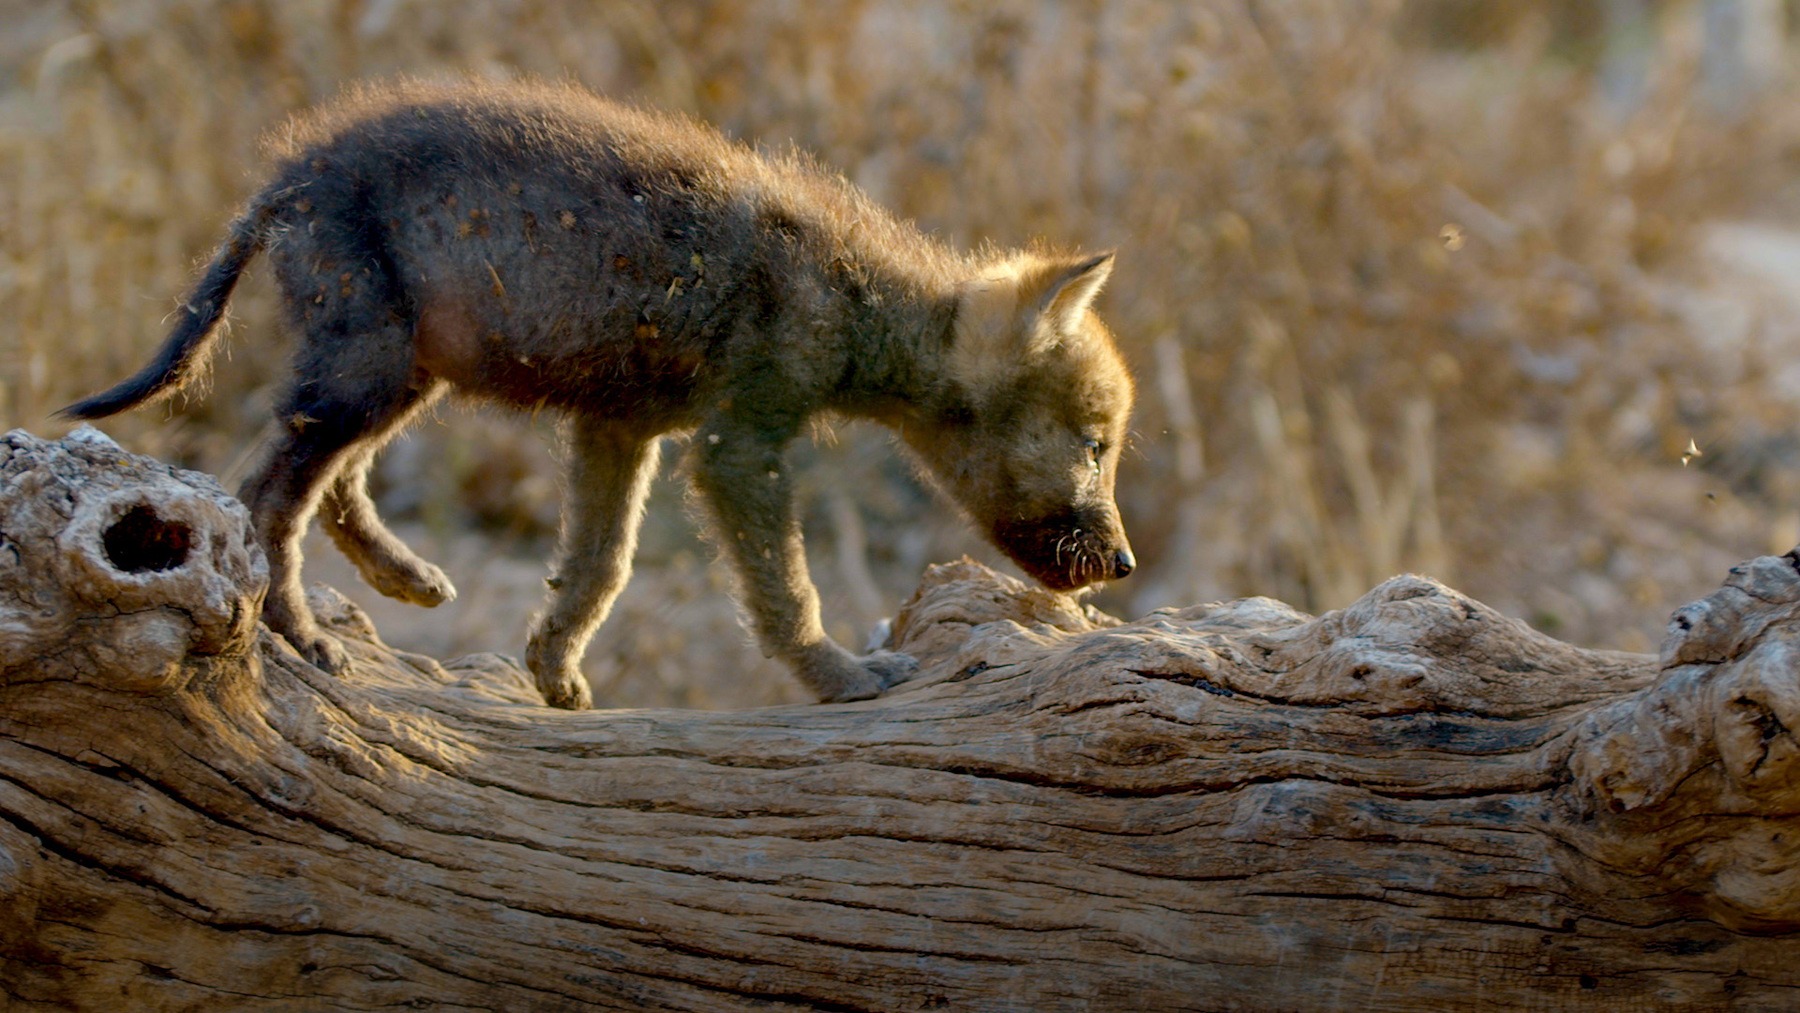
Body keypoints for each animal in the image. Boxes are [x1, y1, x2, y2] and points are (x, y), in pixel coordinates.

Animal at [62, 80, 1136, 709]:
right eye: (1096, 444)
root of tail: (284, 179)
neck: (860, 298)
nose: (1124, 563)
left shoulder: (619, 429)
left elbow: (598, 566)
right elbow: (784, 590)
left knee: (324, 482)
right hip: (371, 367)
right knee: (267, 496)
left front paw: (552, 670)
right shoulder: (739, 447)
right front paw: (841, 677)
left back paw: (406, 579)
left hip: (397, 368)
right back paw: (305, 635)